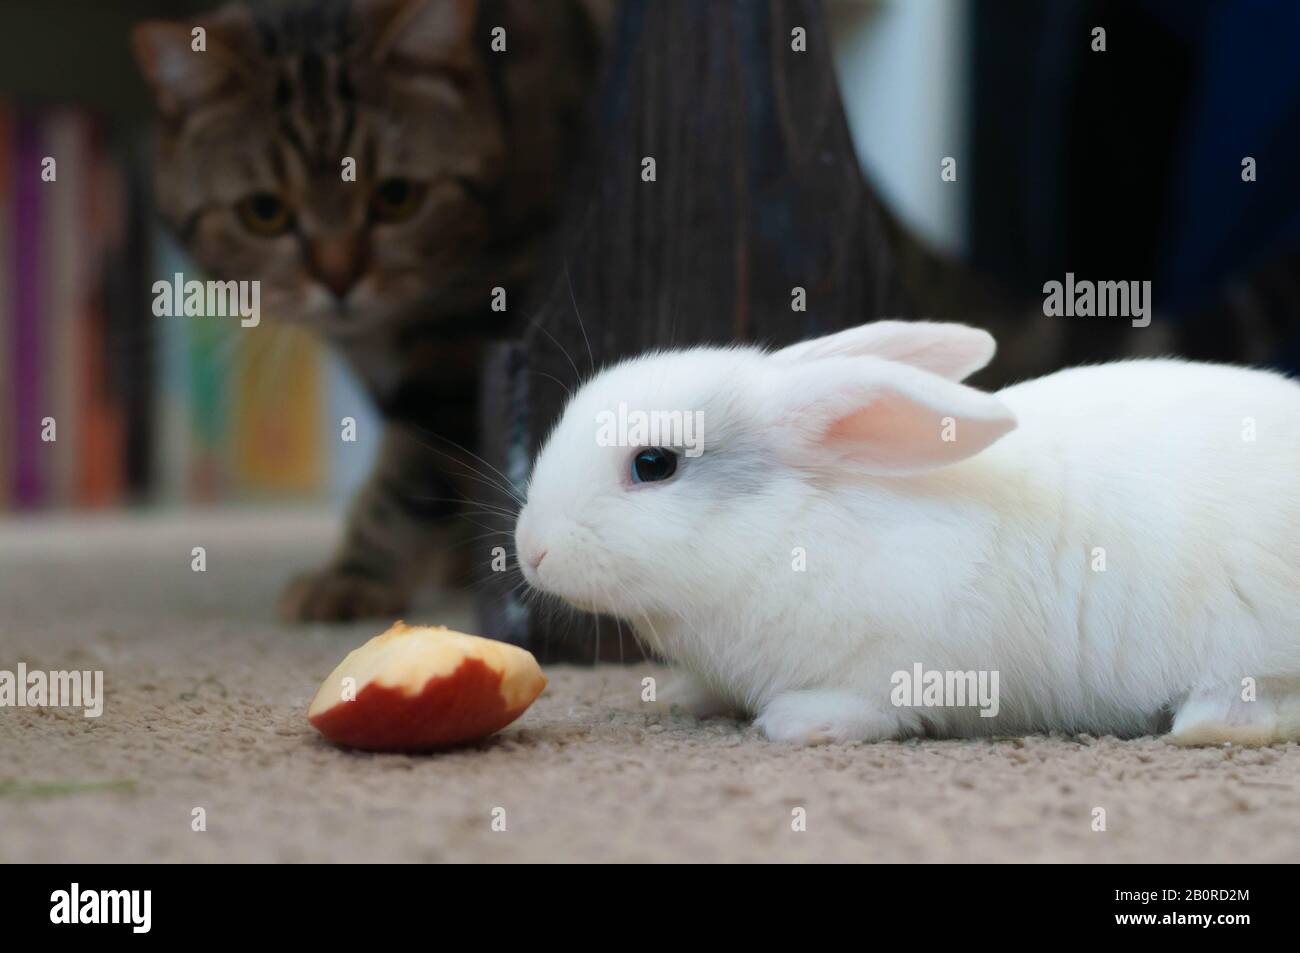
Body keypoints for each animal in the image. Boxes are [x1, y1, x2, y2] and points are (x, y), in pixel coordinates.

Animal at [514, 320, 1300, 745]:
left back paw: (1208, 725)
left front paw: (798, 723)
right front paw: (682, 696)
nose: (531, 550)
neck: (786, 529)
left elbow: (876, 706)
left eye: (654, 464)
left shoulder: (906, 660)